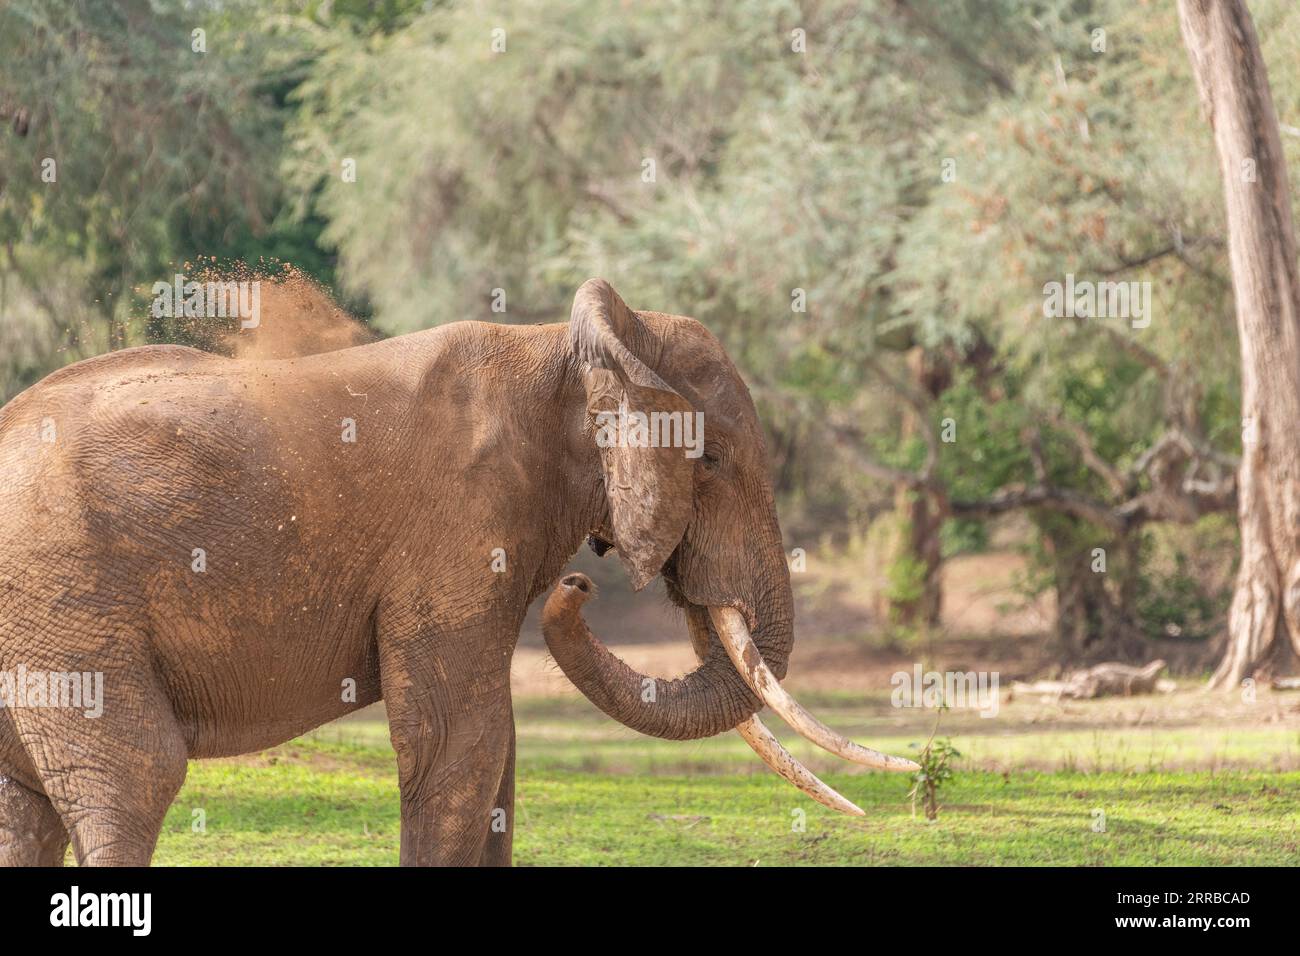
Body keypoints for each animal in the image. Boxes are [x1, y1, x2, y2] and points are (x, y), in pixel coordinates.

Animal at [0, 278, 915, 866]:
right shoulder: (457, 531)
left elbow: (496, 748)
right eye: (714, 461)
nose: (578, 587)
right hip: (66, 598)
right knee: (134, 776)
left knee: (27, 805)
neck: (567, 353)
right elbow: (456, 738)